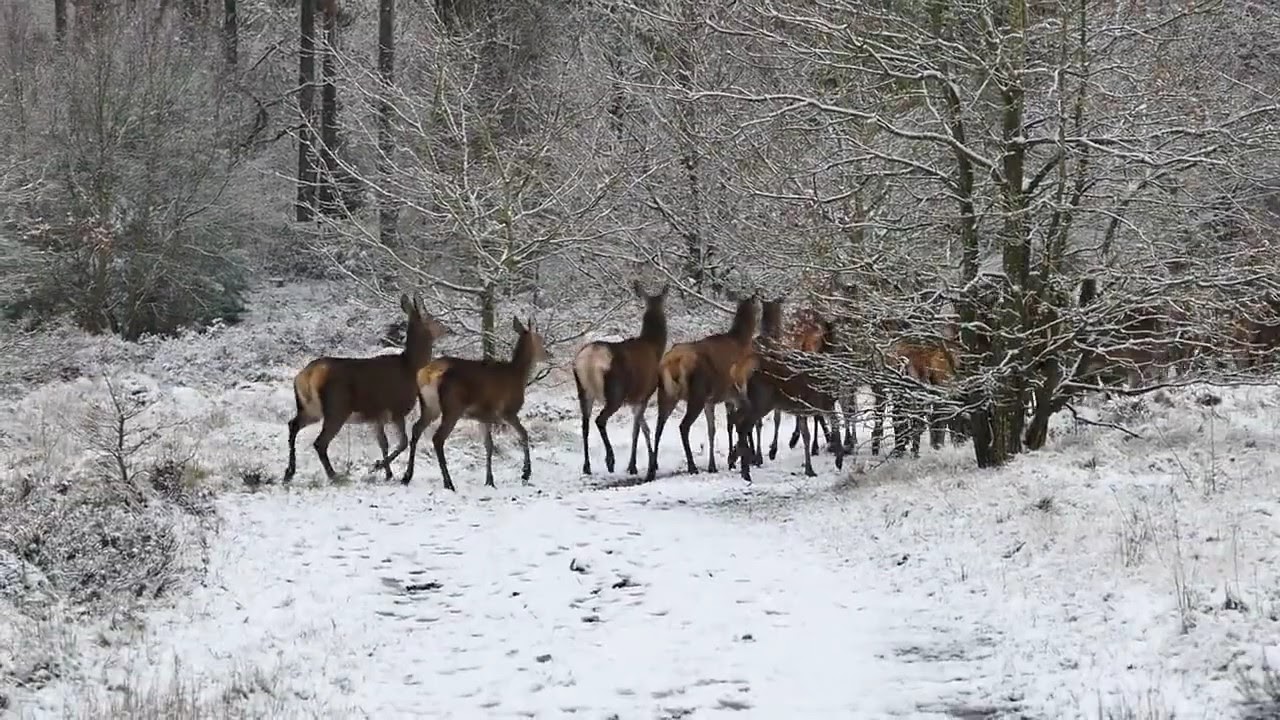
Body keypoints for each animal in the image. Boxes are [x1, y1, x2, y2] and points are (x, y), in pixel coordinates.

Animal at [283, 292, 449, 484]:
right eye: (433, 318)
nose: (448, 329)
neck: (410, 367)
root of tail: (306, 376)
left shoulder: (377, 416)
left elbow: (383, 443)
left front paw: (388, 473)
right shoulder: (396, 409)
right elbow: (403, 442)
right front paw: (377, 467)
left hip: (311, 408)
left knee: (293, 425)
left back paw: (289, 472)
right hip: (336, 407)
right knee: (320, 442)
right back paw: (333, 475)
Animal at [403, 316, 550, 491]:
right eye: (540, 339)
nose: (548, 354)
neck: (518, 375)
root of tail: (427, 374)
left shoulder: (484, 416)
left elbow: (489, 445)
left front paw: (490, 481)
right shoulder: (507, 411)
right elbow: (524, 435)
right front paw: (525, 474)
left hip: (430, 406)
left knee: (416, 429)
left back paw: (407, 476)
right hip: (453, 407)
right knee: (437, 438)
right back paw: (448, 483)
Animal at [573, 281, 670, 477]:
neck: (655, 348)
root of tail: (589, 360)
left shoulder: (634, 399)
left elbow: (644, 428)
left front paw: (652, 463)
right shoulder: (643, 395)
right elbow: (637, 430)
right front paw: (634, 466)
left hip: (583, 390)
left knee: (584, 425)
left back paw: (587, 466)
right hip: (615, 392)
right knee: (600, 420)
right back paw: (610, 460)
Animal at [644, 290, 760, 483]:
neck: (742, 340)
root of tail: (673, 362)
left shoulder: (712, 400)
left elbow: (713, 429)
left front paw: (715, 464)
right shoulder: (735, 394)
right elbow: (739, 423)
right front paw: (745, 458)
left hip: (666, 393)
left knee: (659, 427)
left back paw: (652, 469)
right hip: (696, 393)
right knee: (683, 426)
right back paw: (692, 466)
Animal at [726, 310, 844, 482]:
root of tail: (740, 372)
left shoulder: (805, 407)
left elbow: (807, 436)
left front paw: (809, 468)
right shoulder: (823, 402)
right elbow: (834, 425)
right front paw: (838, 460)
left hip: (750, 401)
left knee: (737, 421)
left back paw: (739, 463)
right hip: (762, 400)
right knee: (743, 425)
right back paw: (746, 470)